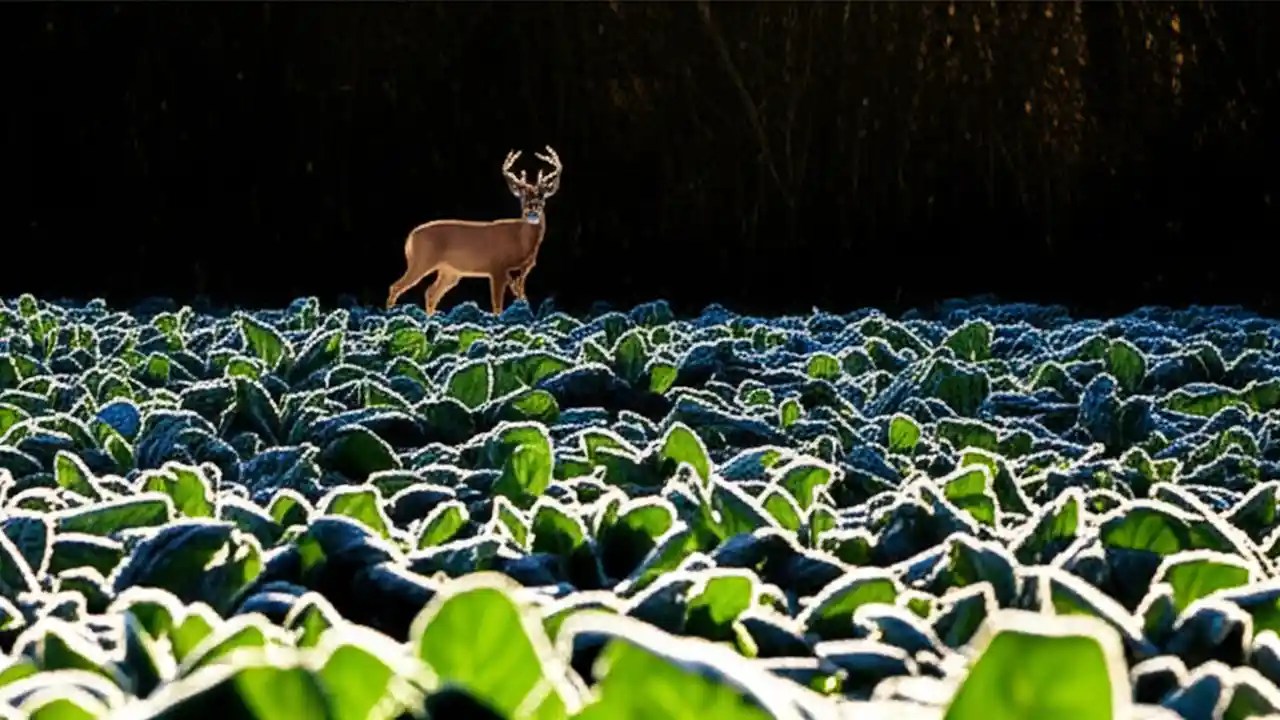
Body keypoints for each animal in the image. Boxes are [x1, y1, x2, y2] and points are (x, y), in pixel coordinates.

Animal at [385, 146, 563, 317]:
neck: (521, 241)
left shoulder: (523, 270)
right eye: (522, 196)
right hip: (421, 260)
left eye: (542, 196)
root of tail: (410, 238)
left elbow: (522, 298)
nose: (532, 210)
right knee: (396, 286)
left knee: (431, 293)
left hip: (449, 272)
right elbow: (497, 305)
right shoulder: (497, 267)